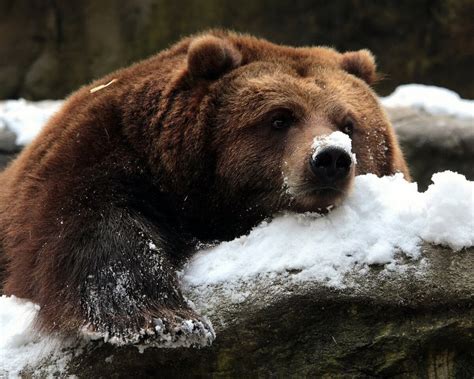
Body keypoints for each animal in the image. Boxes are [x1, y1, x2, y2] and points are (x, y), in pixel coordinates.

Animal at [0, 30, 408, 348]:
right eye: (279, 118)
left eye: (349, 124)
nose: (330, 159)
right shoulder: (100, 151)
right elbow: (94, 229)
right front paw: (169, 321)